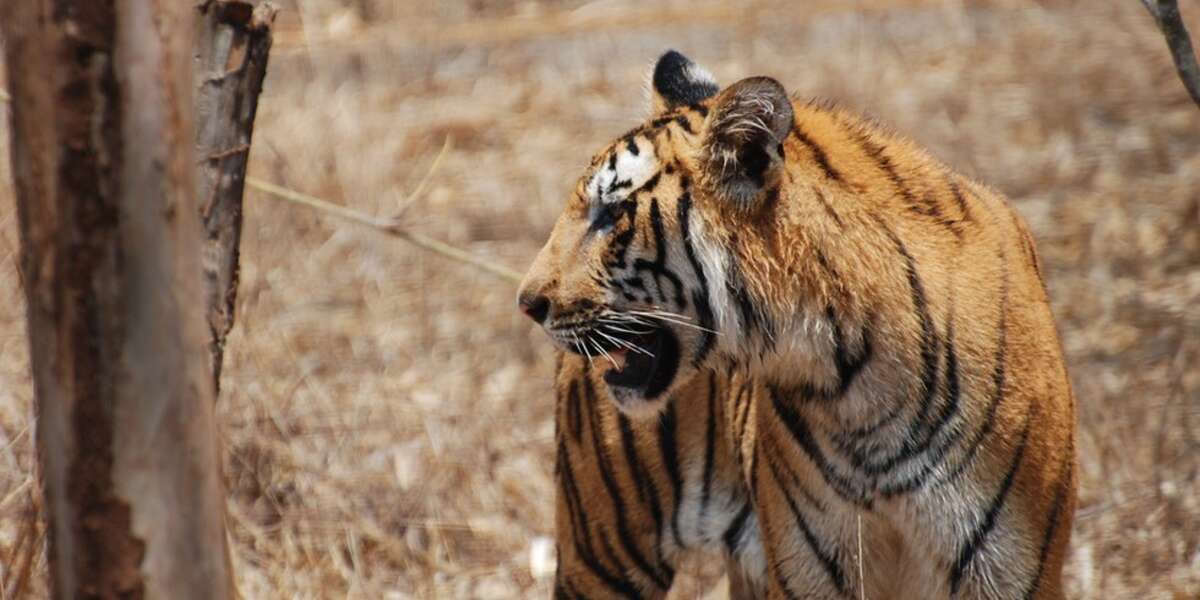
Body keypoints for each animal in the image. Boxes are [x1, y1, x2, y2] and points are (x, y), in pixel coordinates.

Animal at [520, 50, 1077, 599]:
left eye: (611, 214)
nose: (527, 302)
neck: (860, 394)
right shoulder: (811, 569)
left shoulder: (1010, 571)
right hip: (603, 549)